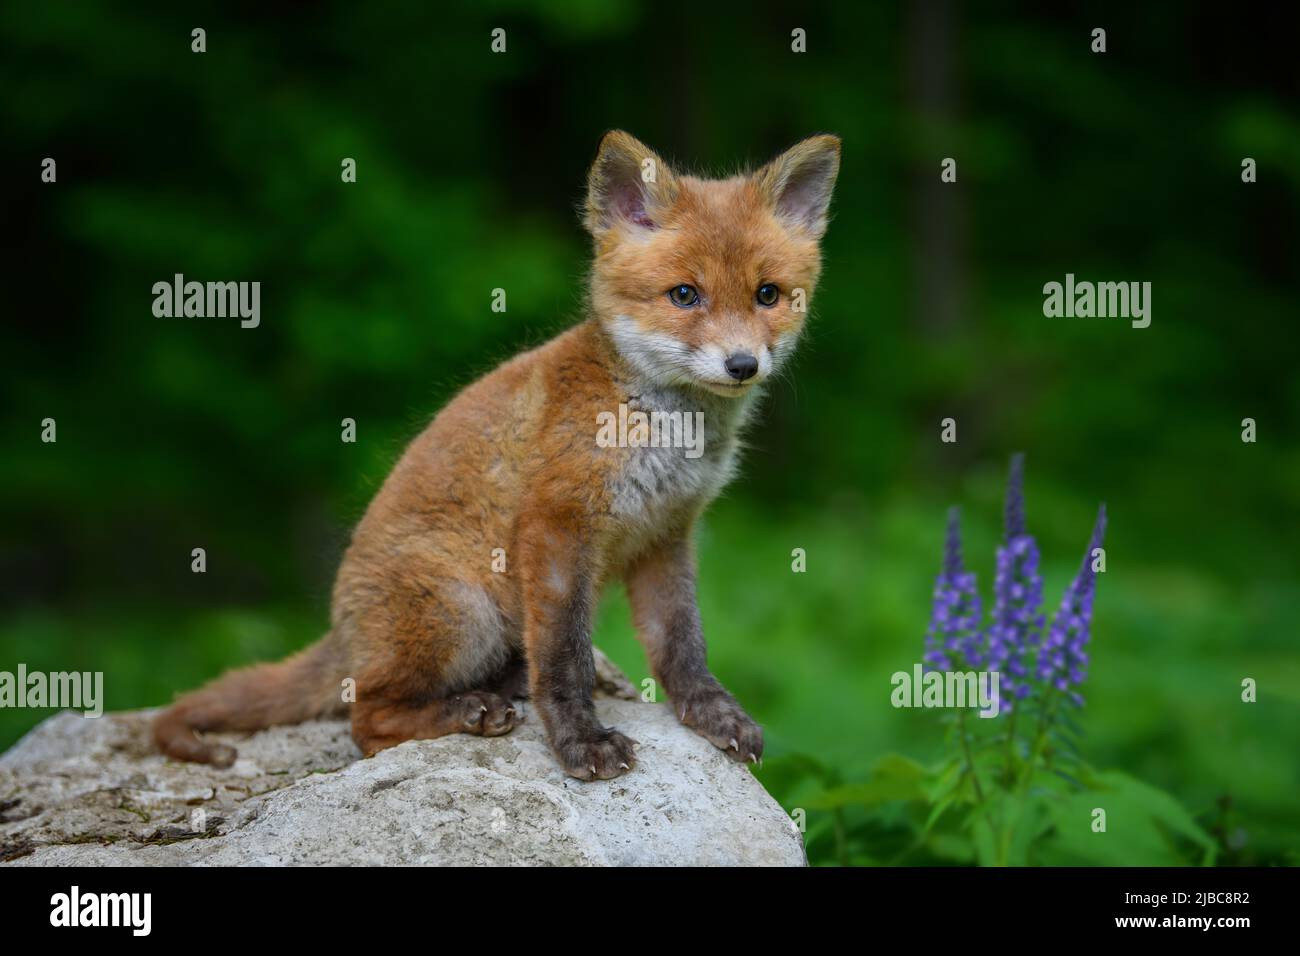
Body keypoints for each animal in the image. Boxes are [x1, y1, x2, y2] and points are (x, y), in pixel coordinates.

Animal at [153, 130, 840, 781]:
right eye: (685, 296)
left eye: (768, 295)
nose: (743, 364)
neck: (662, 430)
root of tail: (343, 630)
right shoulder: (555, 527)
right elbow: (563, 657)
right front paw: (581, 741)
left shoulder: (666, 534)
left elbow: (682, 644)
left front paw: (711, 713)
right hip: (464, 614)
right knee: (365, 718)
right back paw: (468, 710)